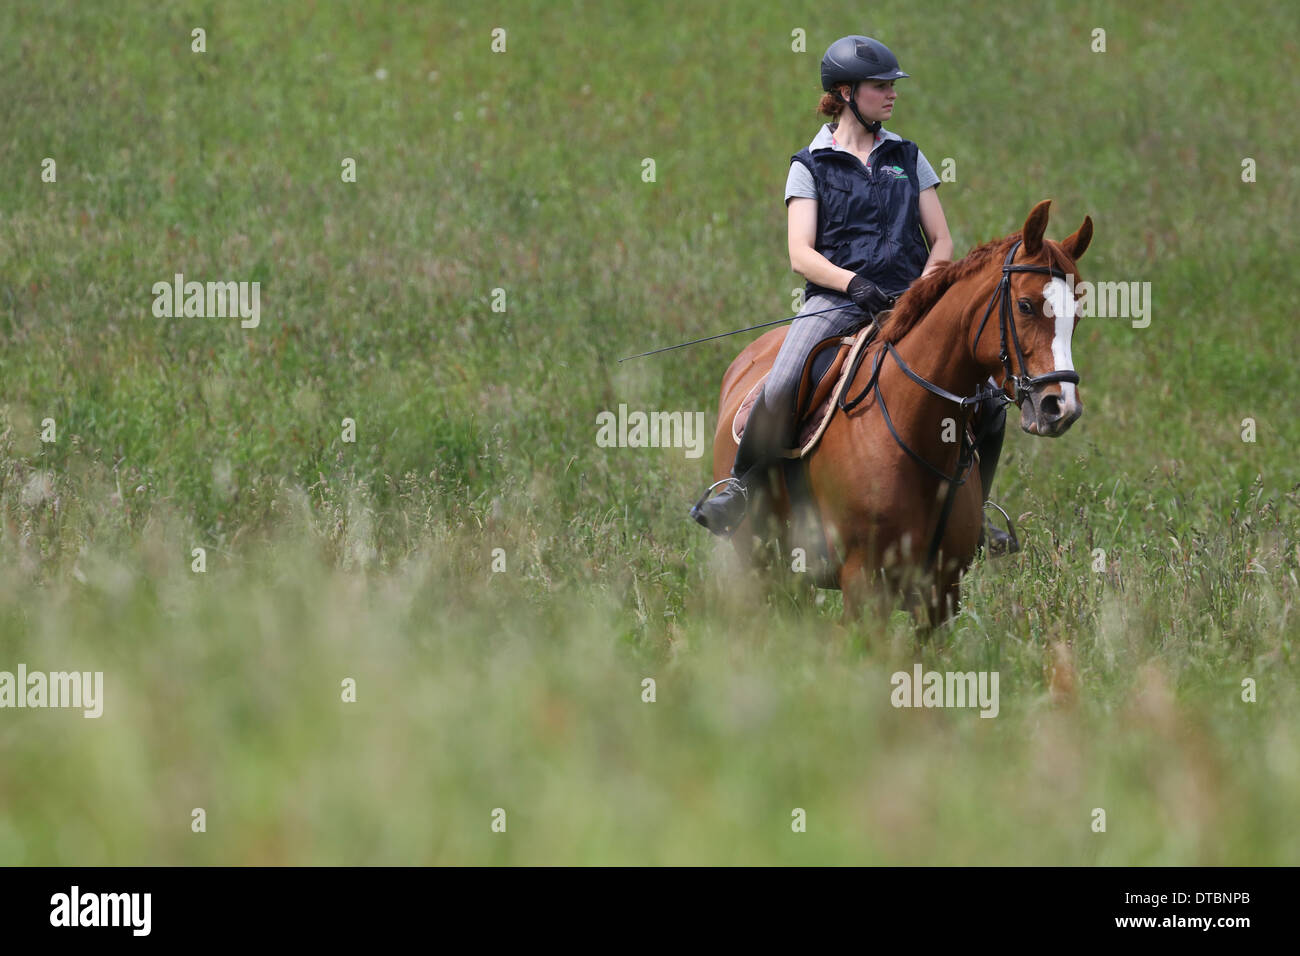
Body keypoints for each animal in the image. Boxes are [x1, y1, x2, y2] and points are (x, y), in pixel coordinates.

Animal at [708, 199, 1093, 626]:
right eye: (1025, 306)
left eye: (1076, 315)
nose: (1060, 407)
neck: (915, 430)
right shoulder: (863, 585)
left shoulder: (942, 592)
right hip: (762, 567)